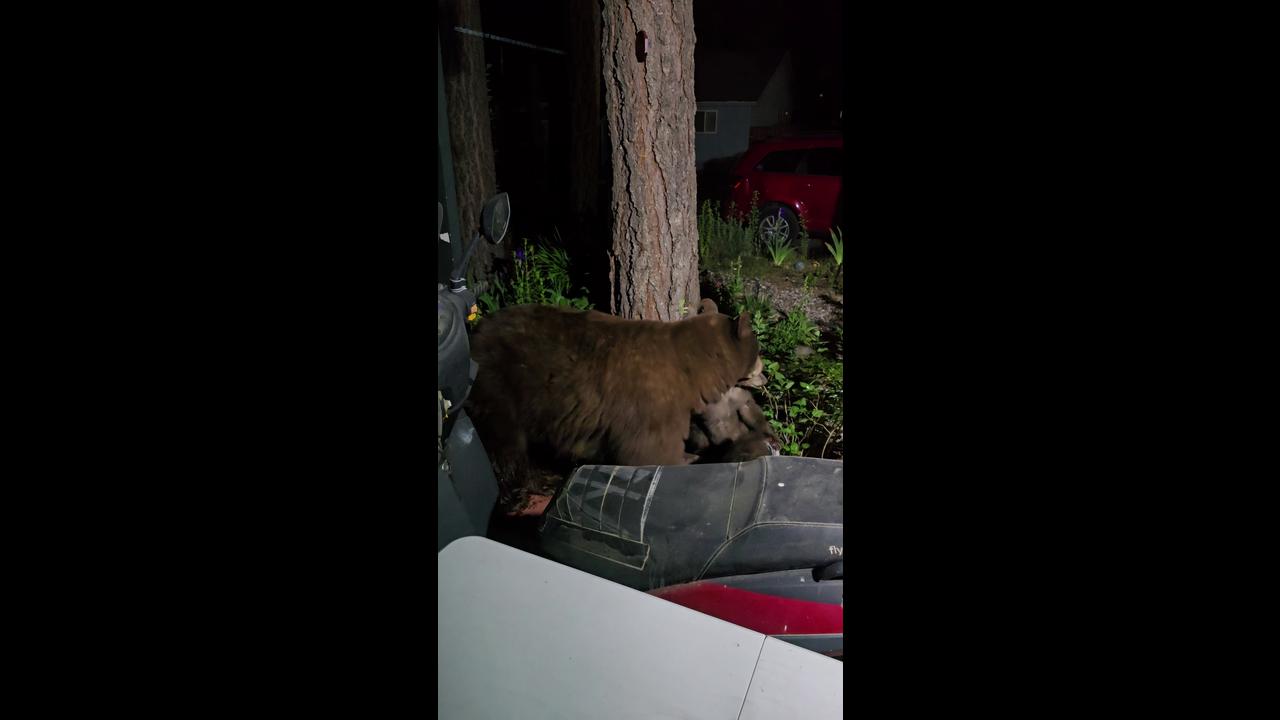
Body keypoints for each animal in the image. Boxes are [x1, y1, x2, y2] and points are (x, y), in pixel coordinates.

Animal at [466, 300, 764, 494]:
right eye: (758, 352)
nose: (766, 374)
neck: (692, 367)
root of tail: (477, 332)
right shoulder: (654, 401)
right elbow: (650, 451)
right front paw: (684, 459)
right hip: (500, 386)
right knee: (505, 444)